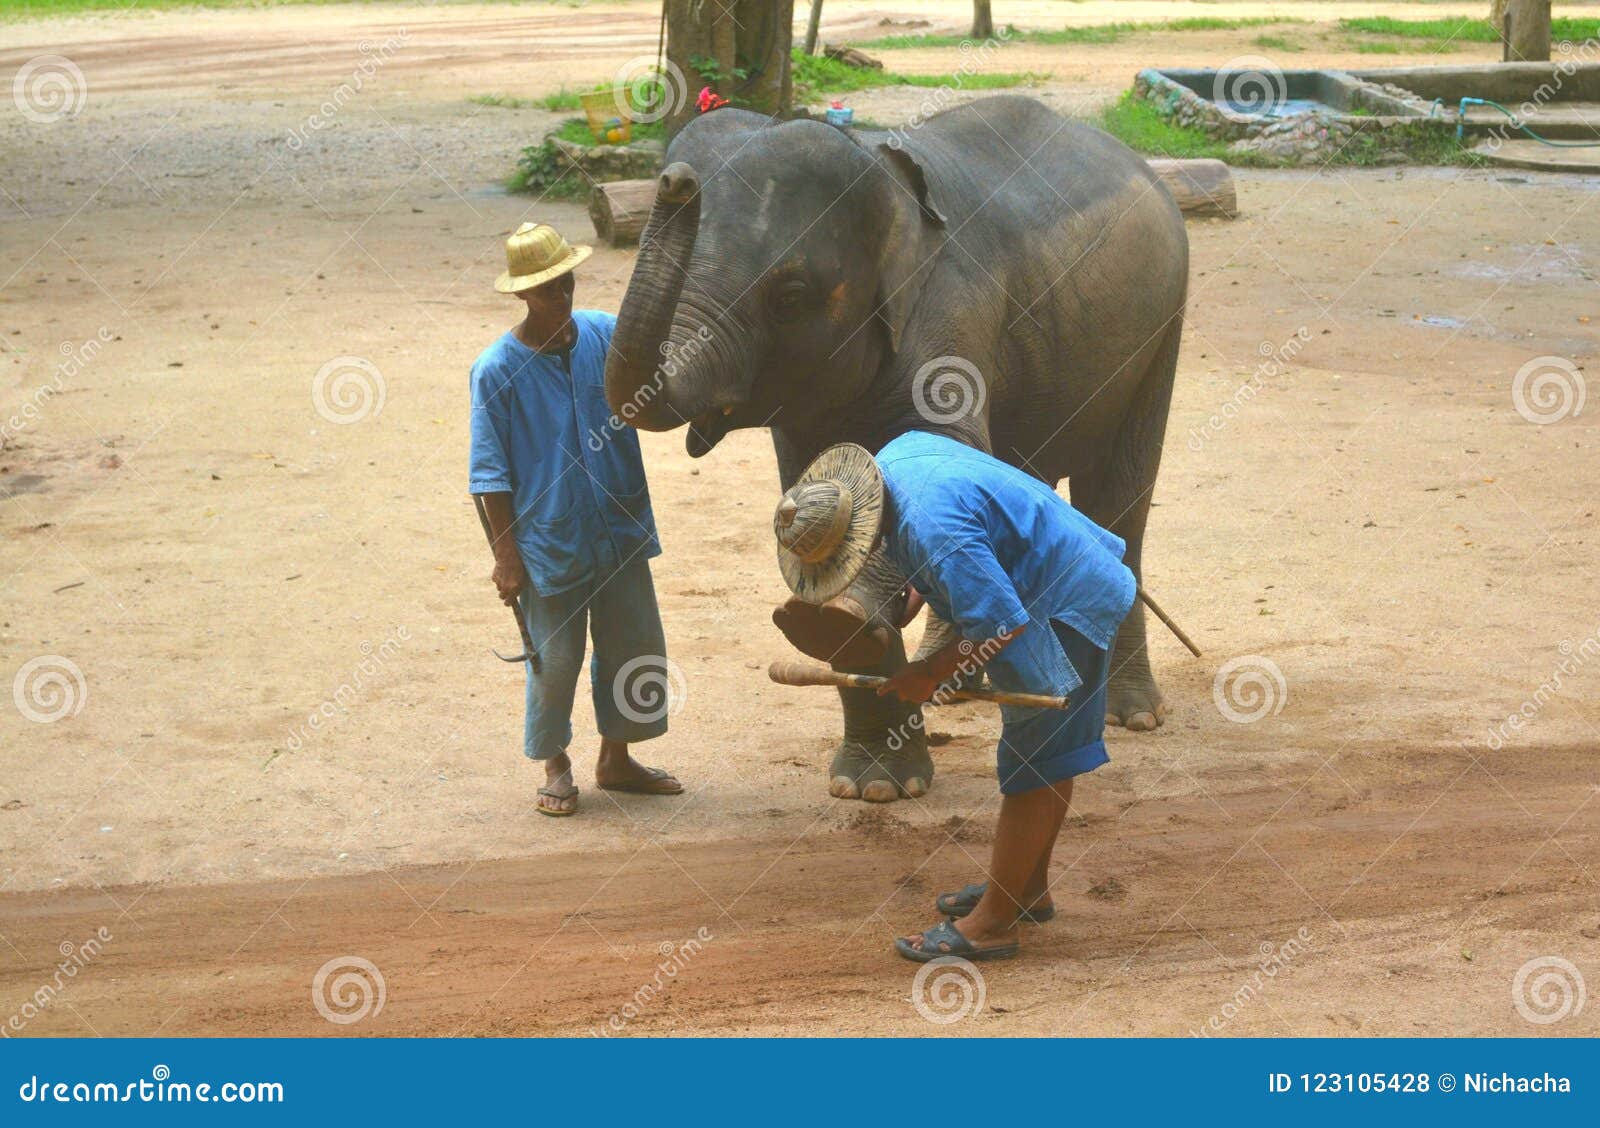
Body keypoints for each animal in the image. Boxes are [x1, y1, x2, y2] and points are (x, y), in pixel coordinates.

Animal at [605, 95, 1188, 802]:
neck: (877, 165)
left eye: (789, 298)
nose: (675, 181)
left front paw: (844, 632)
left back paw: (1133, 714)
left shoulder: (950, 316)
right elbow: (830, 485)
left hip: (1160, 331)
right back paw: (962, 689)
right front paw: (873, 788)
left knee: (1118, 501)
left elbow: (935, 461)